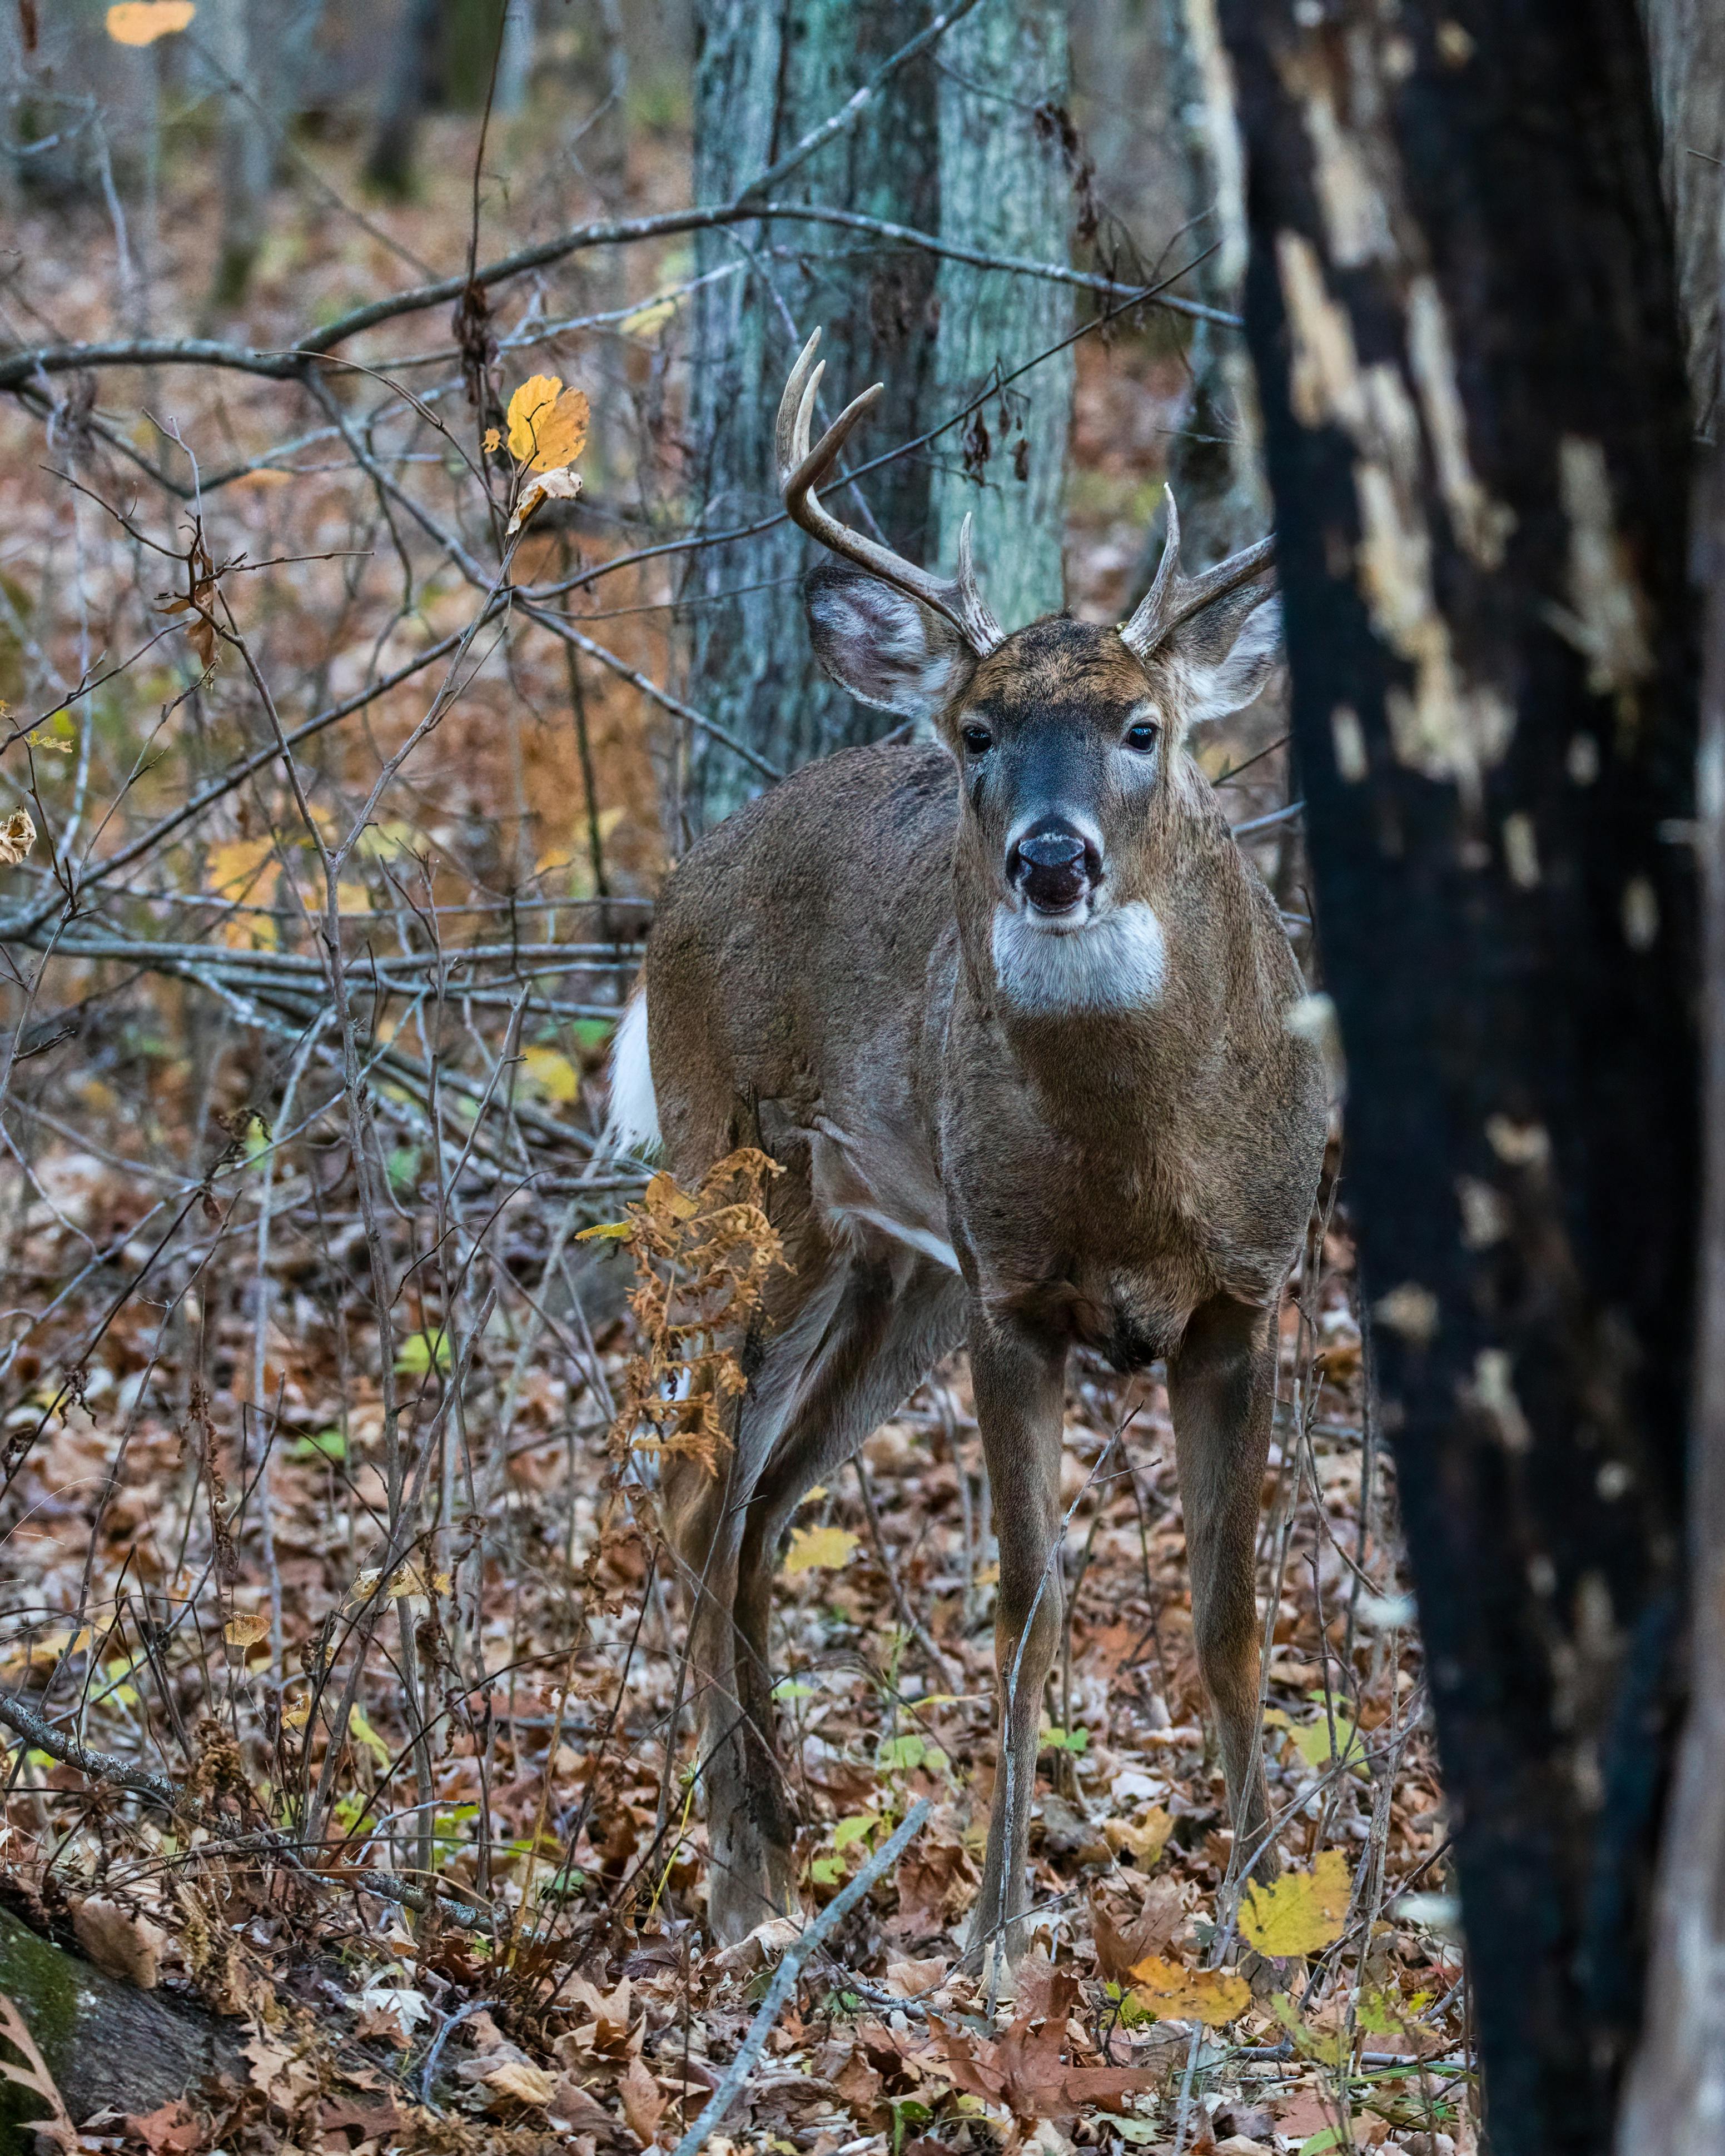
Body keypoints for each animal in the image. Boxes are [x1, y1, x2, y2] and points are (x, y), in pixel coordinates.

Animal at [604, 330, 1328, 1961]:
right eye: (979, 732)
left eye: (1142, 729)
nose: (1051, 855)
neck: (1137, 1175)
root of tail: (681, 885)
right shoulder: (1014, 1291)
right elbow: (1027, 1600)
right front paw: (998, 1930)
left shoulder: (1244, 1290)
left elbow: (1228, 1610)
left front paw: (1258, 1922)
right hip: (742, 1187)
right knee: (694, 1496)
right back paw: (739, 1878)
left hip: (895, 1270)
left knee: (761, 1503)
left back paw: (780, 1844)